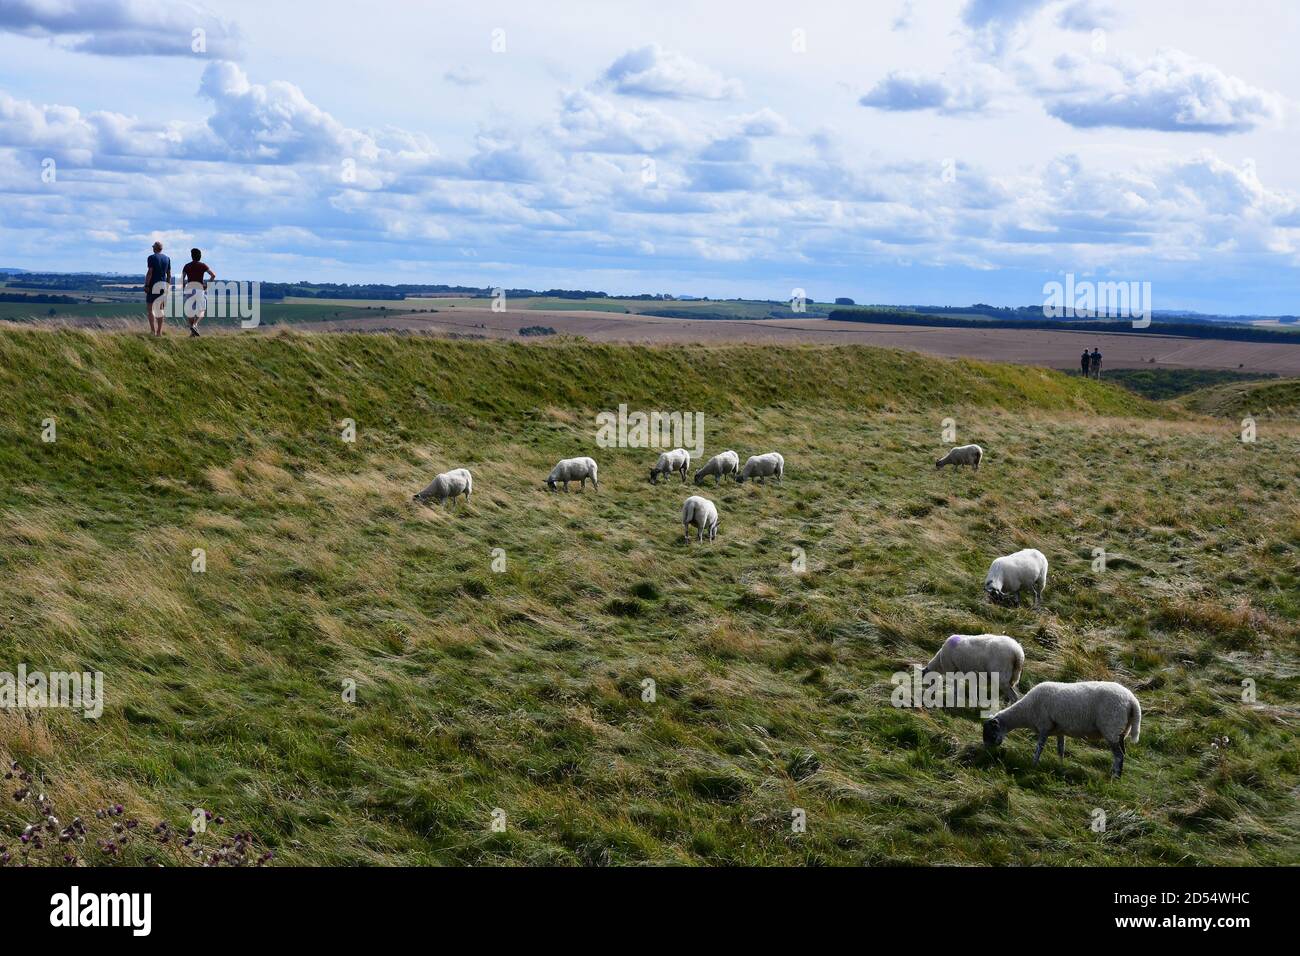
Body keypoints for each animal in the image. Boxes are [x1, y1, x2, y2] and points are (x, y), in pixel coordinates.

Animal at [983, 681, 1142, 777]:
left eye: (991, 733)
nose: (987, 752)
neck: (1026, 711)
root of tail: (1132, 701)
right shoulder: (1060, 730)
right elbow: (1061, 749)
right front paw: (1060, 766)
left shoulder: (1044, 726)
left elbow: (1039, 747)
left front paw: (1033, 764)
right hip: (1120, 731)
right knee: (1122, 753)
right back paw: (1116, 773)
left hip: (1111, 727)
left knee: (1119, 755)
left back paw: (1115, 776)